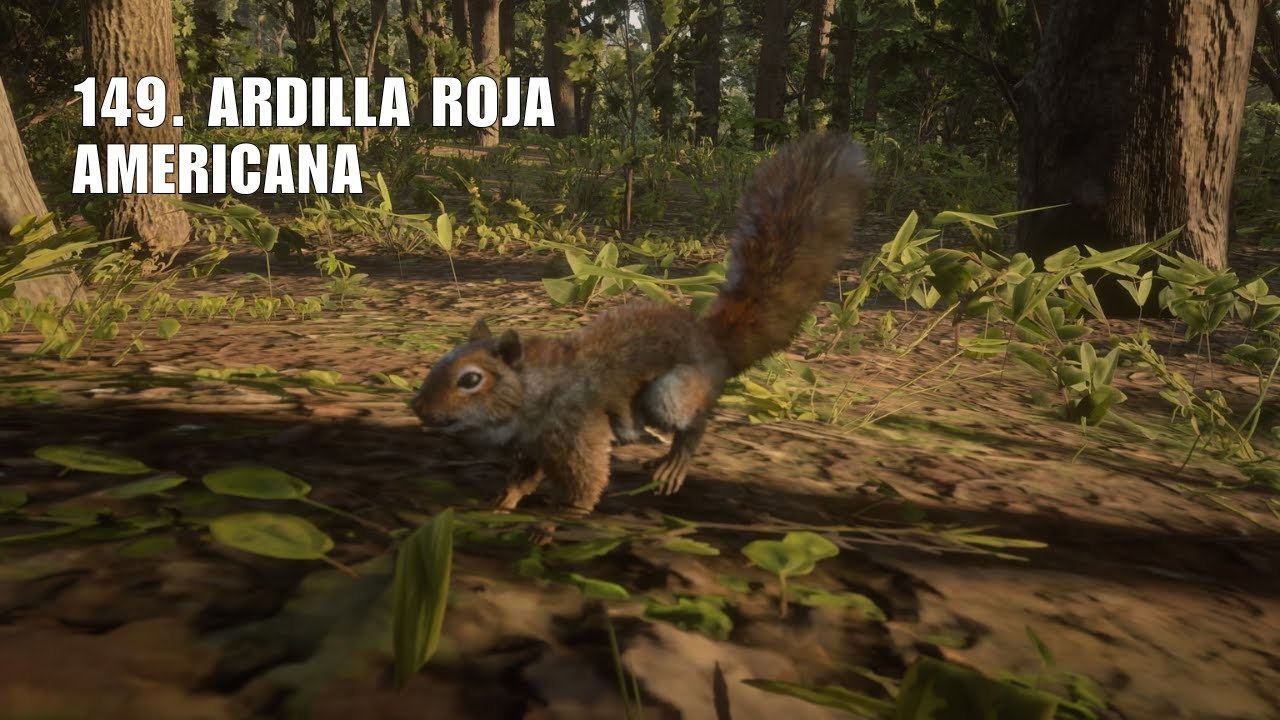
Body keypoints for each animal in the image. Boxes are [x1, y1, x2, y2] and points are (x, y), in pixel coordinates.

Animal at [412, 133, 868, 536]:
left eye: (471, 380)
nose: (417, 406)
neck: (537, 386)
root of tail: (712, 344)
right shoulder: (535, 445)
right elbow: (523, 478)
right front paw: (500, 503)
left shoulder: (577, 430)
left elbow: (586, 484)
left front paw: (556, 521)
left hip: (672, 392)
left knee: (696, 421)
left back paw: (675, 462)